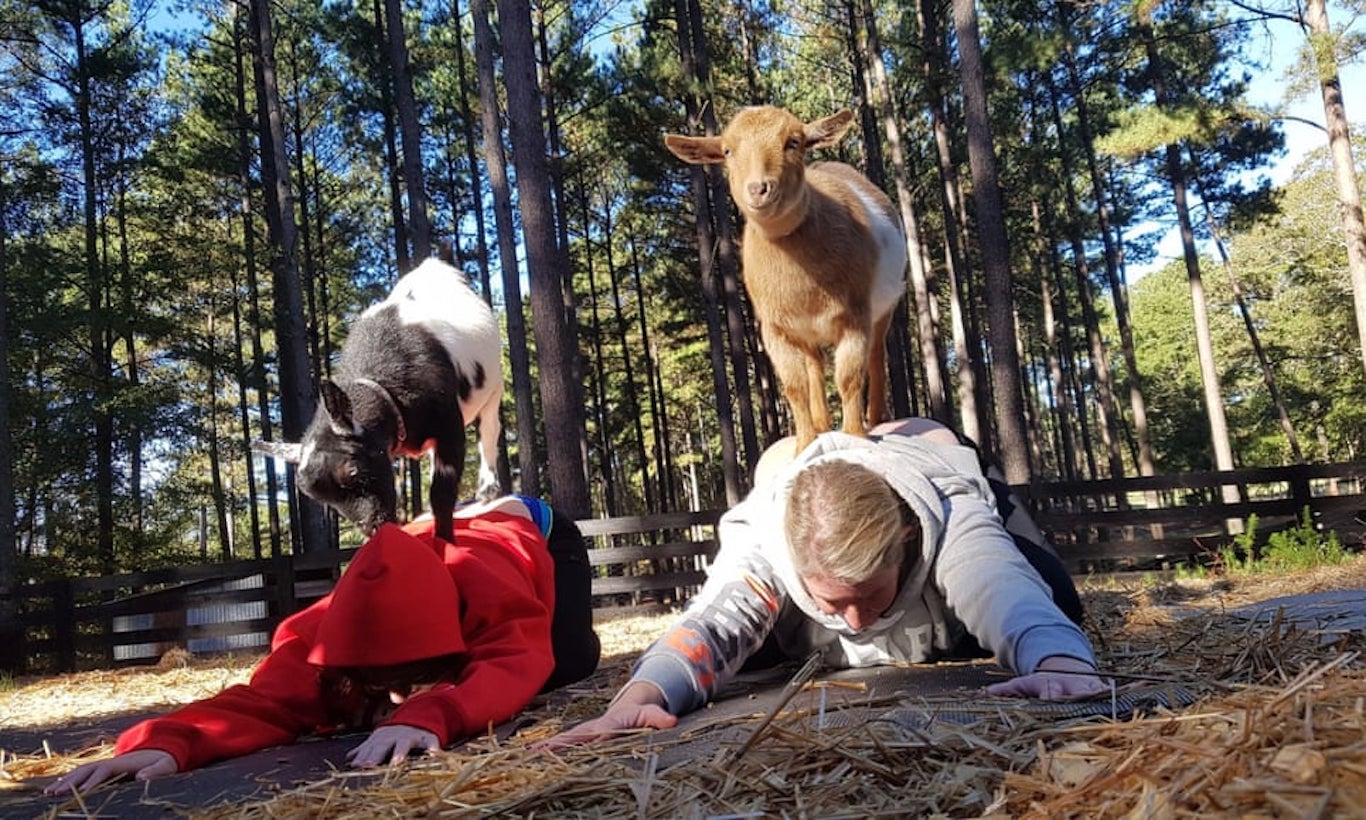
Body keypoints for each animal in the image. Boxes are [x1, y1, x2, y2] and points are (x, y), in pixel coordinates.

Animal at [254, 256, 504, 543]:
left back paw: (488, 489)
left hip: (494, 387)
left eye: (353, 470)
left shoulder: (449, 429)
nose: (372, 527)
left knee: (490, 429)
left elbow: (442, 493)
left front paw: (444, 542)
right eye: (318, 497)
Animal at [665, 106, 907, 453]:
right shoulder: (775, 328)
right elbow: (794, 385)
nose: (758, 189)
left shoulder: (855, 315)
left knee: (876, 354)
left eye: (793, 142)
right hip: (806, 331)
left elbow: (848, 377)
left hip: (884, 306)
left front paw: (855, 435)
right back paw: (821, 423)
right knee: (814, 365)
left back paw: (875, 417)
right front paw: (804, 444)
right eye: (727, 150)